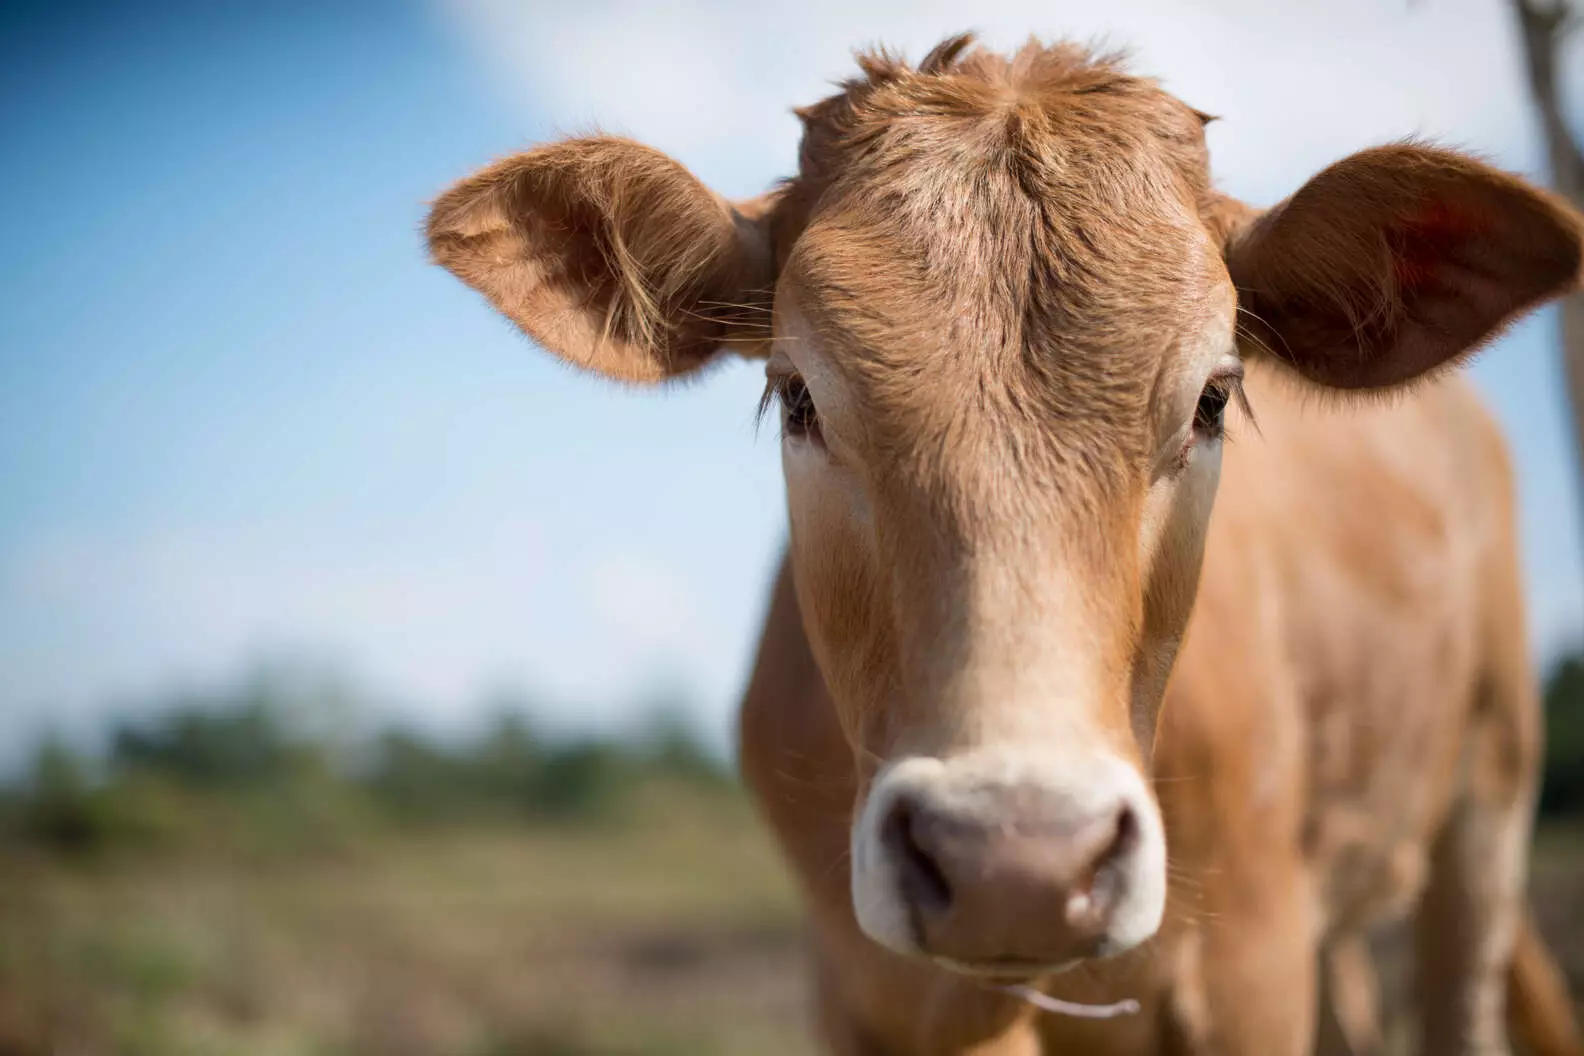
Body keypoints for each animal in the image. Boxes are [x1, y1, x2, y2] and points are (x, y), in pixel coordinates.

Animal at [430, 33, 1584, 1056]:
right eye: (796, 395)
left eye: (1213, 398)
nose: (1015, 862)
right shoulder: (861, 992)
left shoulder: (1252, 970)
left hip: (1487, 798)